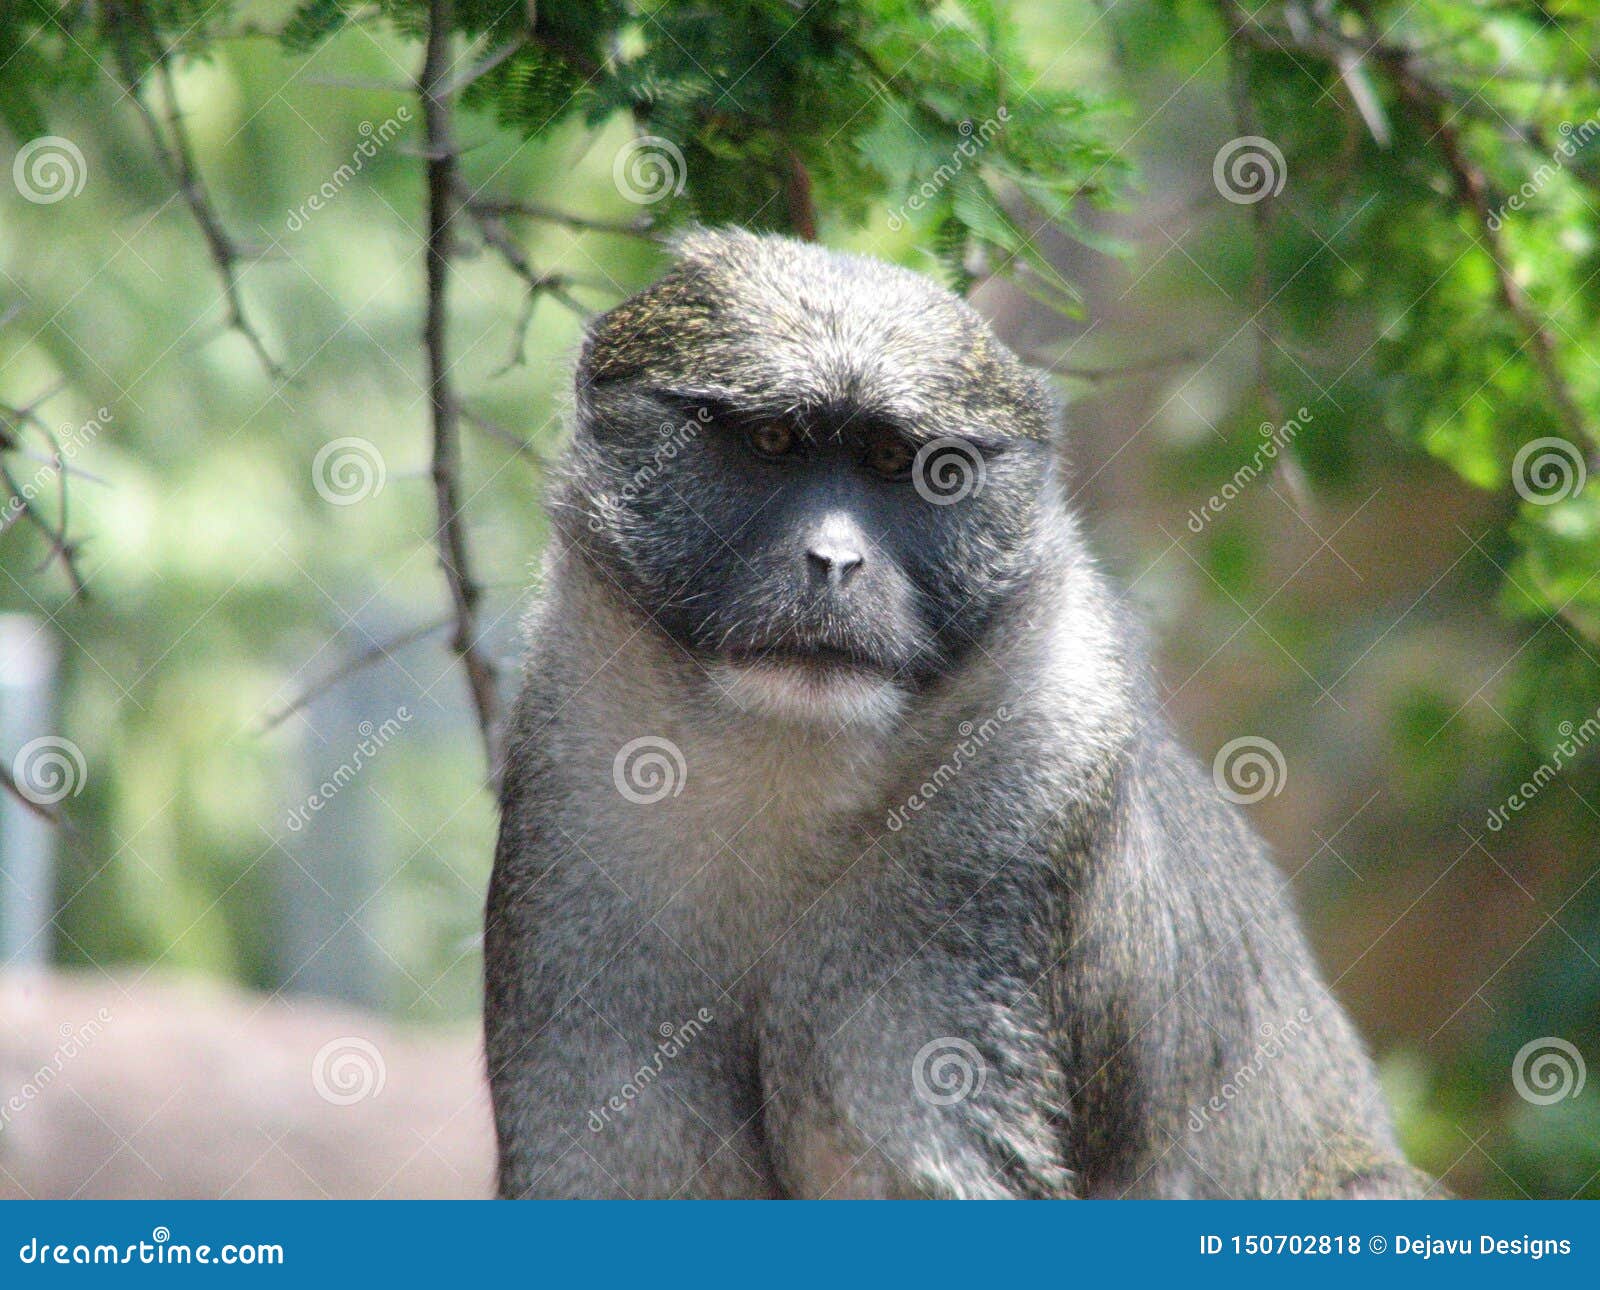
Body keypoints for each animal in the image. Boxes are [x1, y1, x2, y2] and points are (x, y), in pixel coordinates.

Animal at [484, 228, 1434, 1199]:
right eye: (772, 439)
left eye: (899, 464)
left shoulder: (1033, 772)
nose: (834, 560)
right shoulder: (576, 757)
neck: (786, 776)